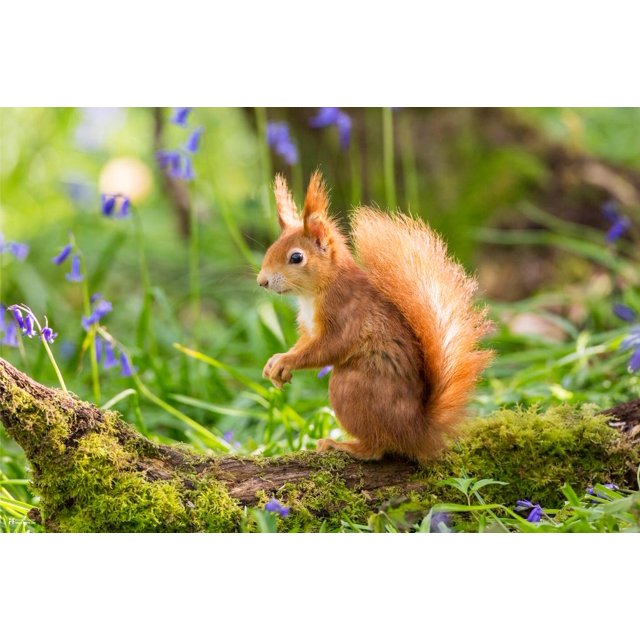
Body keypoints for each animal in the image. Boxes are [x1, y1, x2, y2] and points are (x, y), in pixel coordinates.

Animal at [257, 170, 493, 463]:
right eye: (271, 248)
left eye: (296, 257)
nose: (262, 281)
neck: (314, 293)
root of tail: (417, 431)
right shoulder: (309, 328)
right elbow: (304, 343)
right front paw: (275, 363)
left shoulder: (345, 314)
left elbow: (327, 348)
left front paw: (285, 361)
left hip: (350, 389)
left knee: (378, 447)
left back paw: (343, 445)